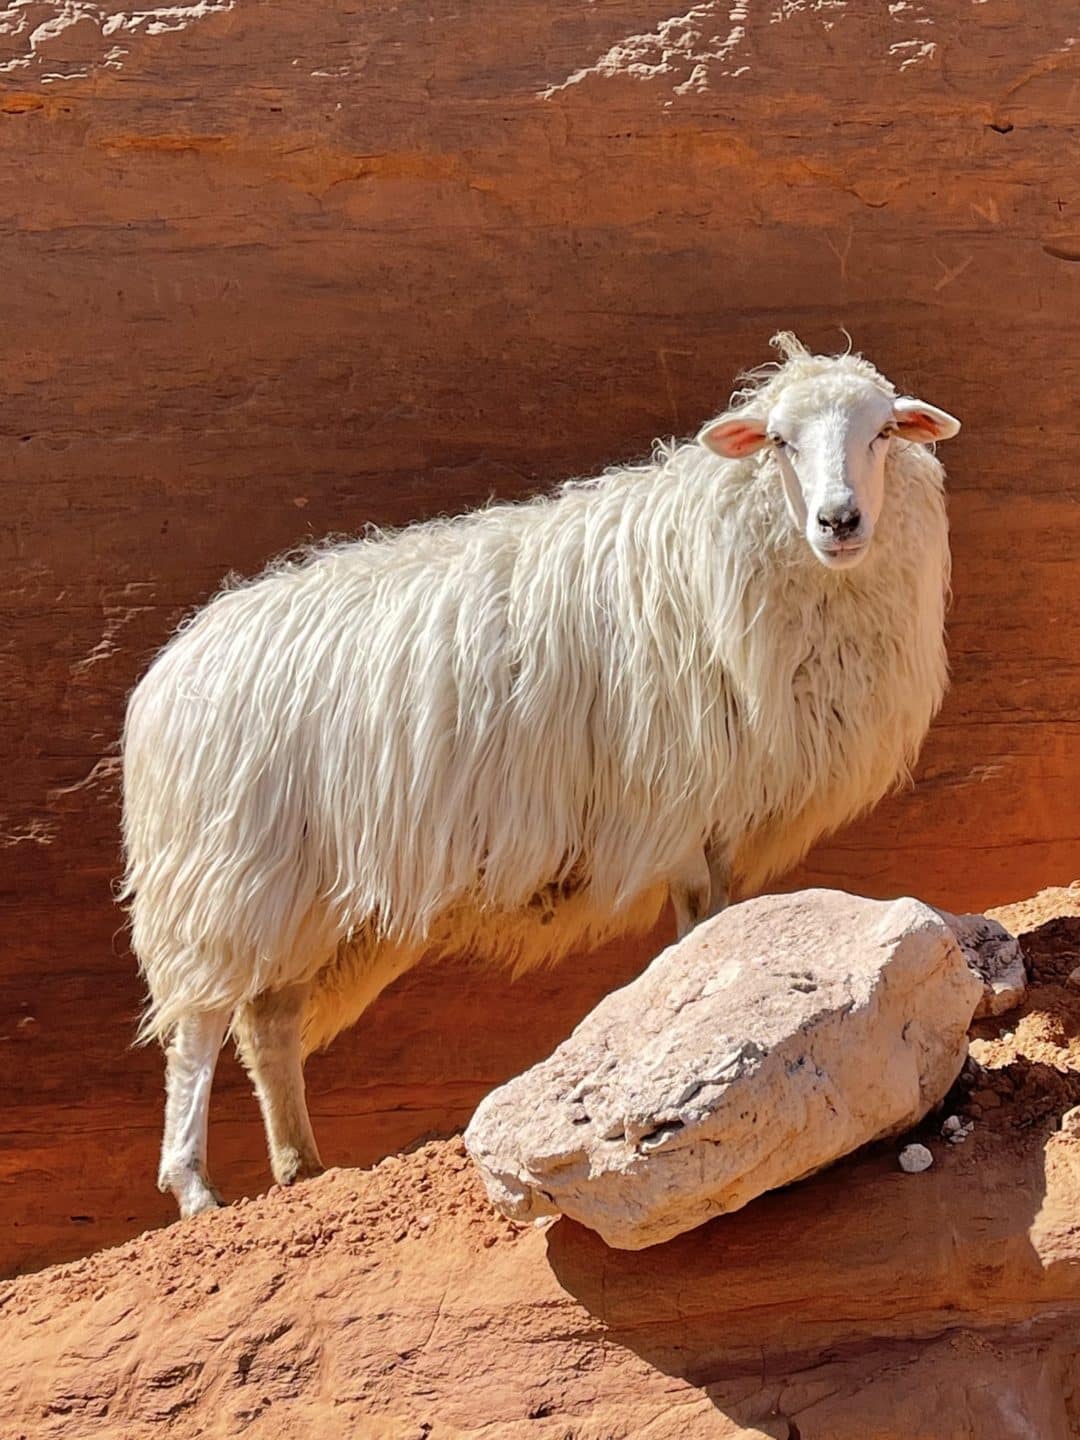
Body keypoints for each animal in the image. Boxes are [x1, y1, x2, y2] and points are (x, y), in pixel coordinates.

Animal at [121, 331, 961, 1218]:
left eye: (882, 432)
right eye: (778, 441)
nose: (840, 520)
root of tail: (173, 664)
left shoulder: (718, 814)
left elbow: (714, 925)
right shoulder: (680, 802)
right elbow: (699, 928)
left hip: (308, 900)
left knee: (269, 1025)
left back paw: (299, 1165)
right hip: (220, 880)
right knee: (197, 1034)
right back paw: (194, 1188)